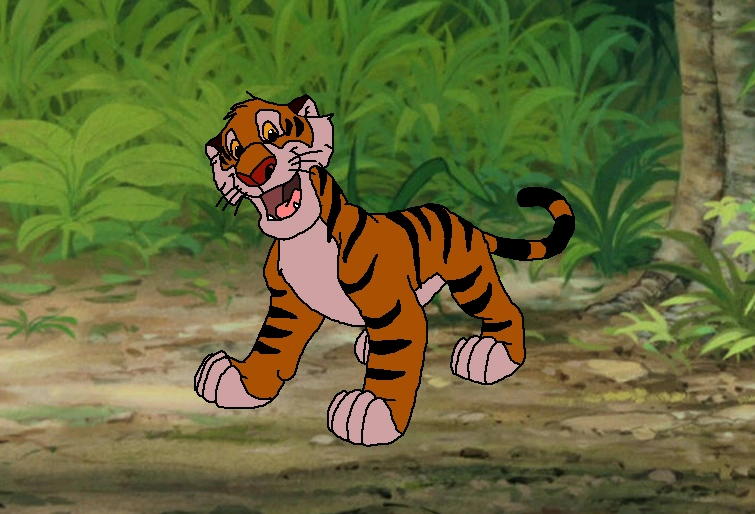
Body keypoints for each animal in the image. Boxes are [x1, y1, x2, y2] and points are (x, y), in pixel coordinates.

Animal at [194, 94, 575, 446]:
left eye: (273, 133)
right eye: (233, 151)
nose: (255, 171)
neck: (302, 240)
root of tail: (462, 219)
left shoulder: (392, 307)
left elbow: (394, 361)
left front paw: (370, 411)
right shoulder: (290, 301)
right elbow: (272, 344)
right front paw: (238, 381)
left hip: (469, 279)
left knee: (504, 309)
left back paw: (490, 354)